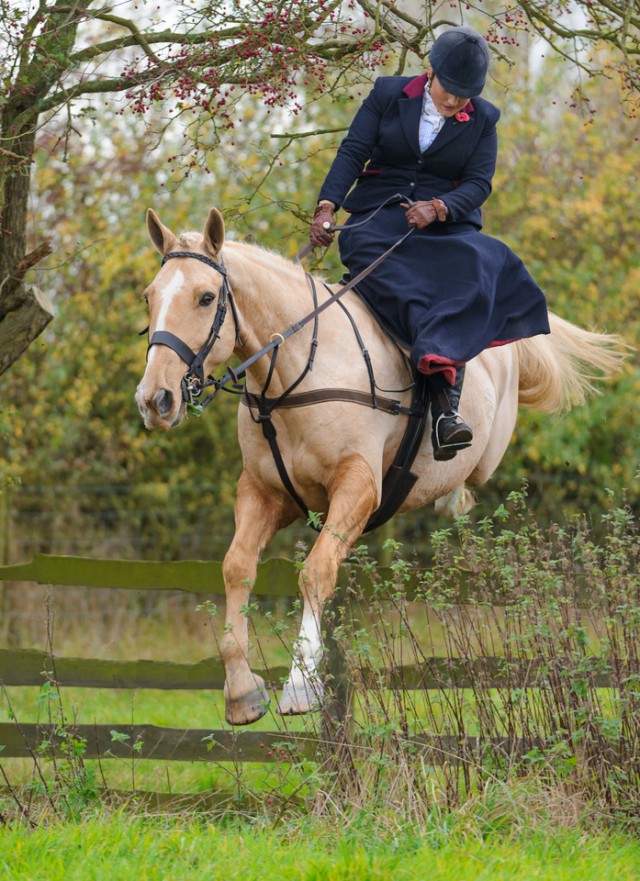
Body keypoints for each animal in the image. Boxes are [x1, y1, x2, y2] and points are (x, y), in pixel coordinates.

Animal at [136, 206, 624, 726]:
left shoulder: (358, 488)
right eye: (149, 296)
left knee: (469, 474)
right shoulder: (264, 494)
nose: (154, 400)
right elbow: (236, 569)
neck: (295, 374)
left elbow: (315, 572)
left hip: (487, 450)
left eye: (206, 298)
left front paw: (300, 686)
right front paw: (242, 691)